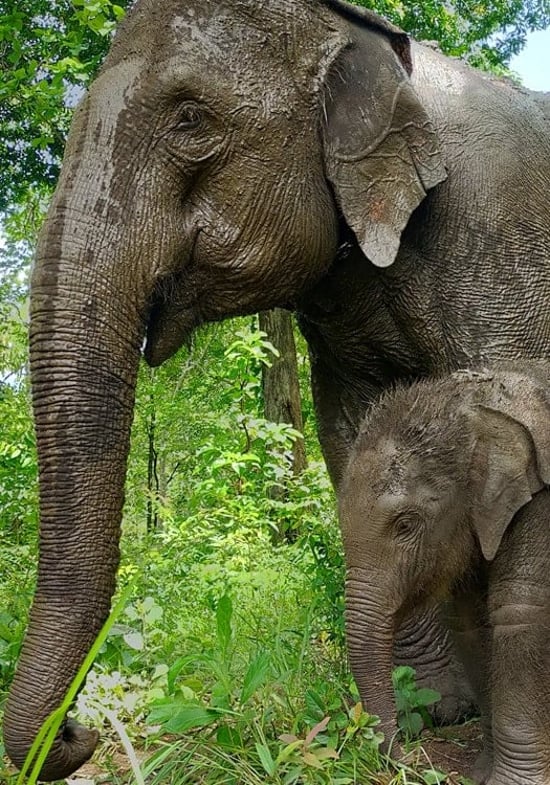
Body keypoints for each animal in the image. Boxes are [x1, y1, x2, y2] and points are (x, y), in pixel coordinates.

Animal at [339, 362, 550, 785]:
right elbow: (471, 623)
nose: (408, 760)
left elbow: (520, 615)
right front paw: (482, 774)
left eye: (405, 524)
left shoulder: (542, 504)